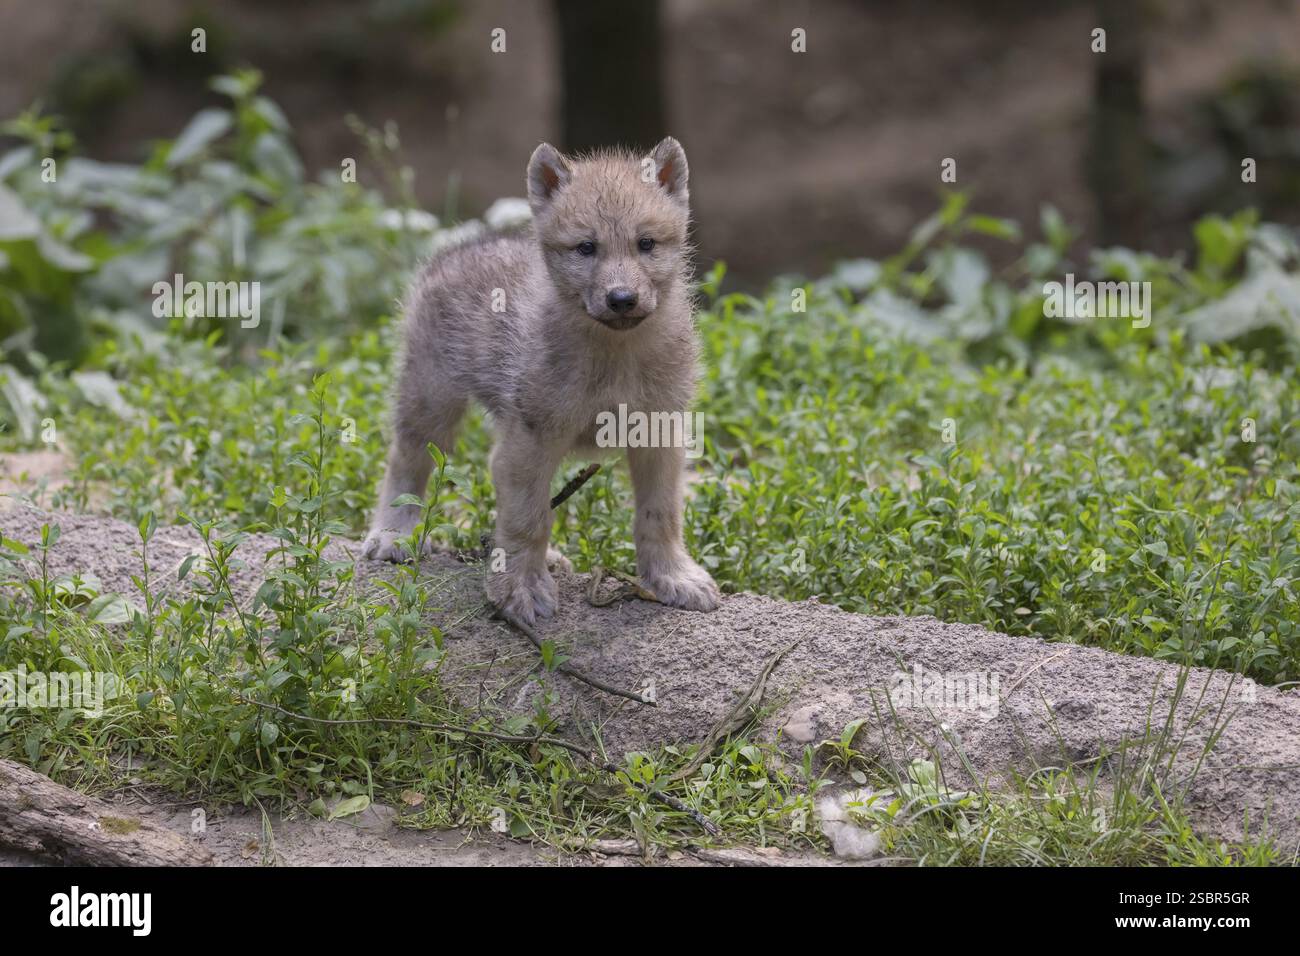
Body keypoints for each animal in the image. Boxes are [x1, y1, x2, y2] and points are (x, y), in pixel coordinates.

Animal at [362, 136, 720, 625]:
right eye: (586, 248)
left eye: (646, 243)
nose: (621, 299)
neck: (614, 356)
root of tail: (462, 246)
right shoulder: (531, 438)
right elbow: (527, 521)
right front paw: (520, 589)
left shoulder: (659, 433)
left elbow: (660, 514)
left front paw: (673, 576)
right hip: (430, 399)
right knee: (405, 462)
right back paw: (392, 533)